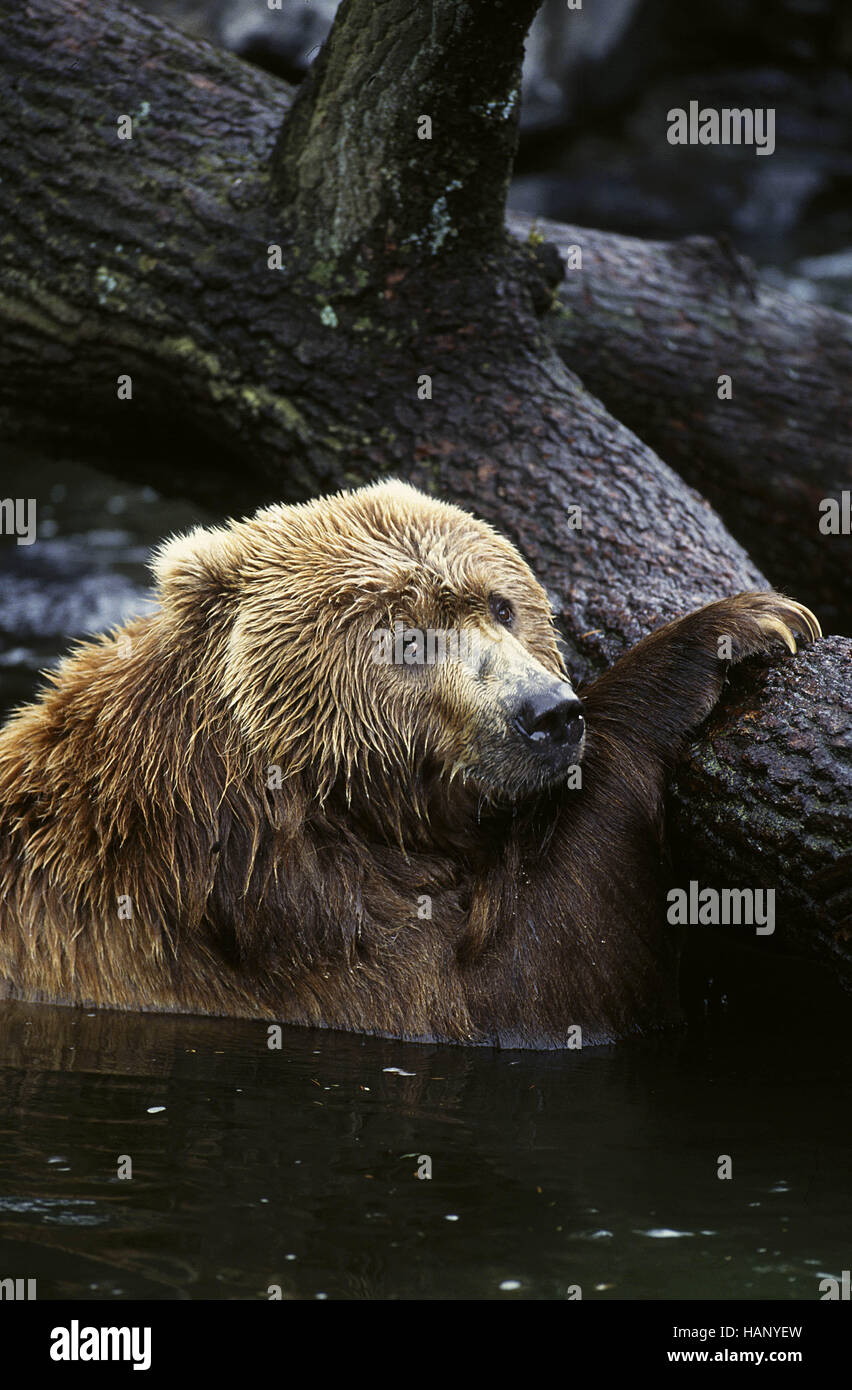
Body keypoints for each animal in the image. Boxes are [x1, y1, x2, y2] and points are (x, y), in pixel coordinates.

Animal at [0, 481, 820, 1047]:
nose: (548, 713)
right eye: (404, 637)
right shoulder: (264, 913)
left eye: (500, 604)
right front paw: (734, 627)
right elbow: (528, 982)